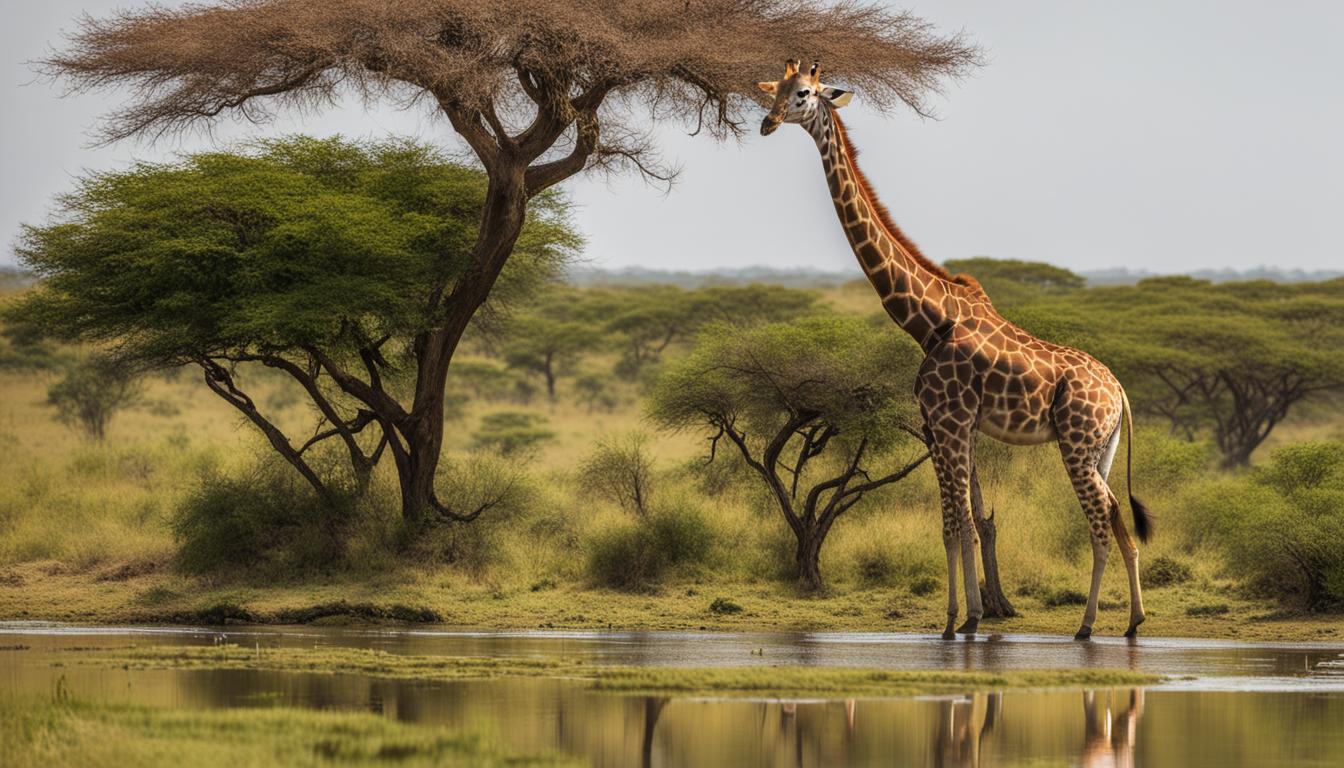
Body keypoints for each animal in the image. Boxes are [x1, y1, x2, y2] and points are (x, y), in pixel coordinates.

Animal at [757, 59, 1153, 640]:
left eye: (804, 94)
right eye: (774, 90)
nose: (767, 122)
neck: (928, 320)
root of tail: (1119, 390)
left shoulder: (947, 419)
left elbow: (956, 521)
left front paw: (954, 620)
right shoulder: (949, 425)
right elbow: (959, 521)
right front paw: (969, 615)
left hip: (1076, 443)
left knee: (1101, 522)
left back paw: (1091, 625)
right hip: (1102, 447)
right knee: (1118, 518)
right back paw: (1130, 620)